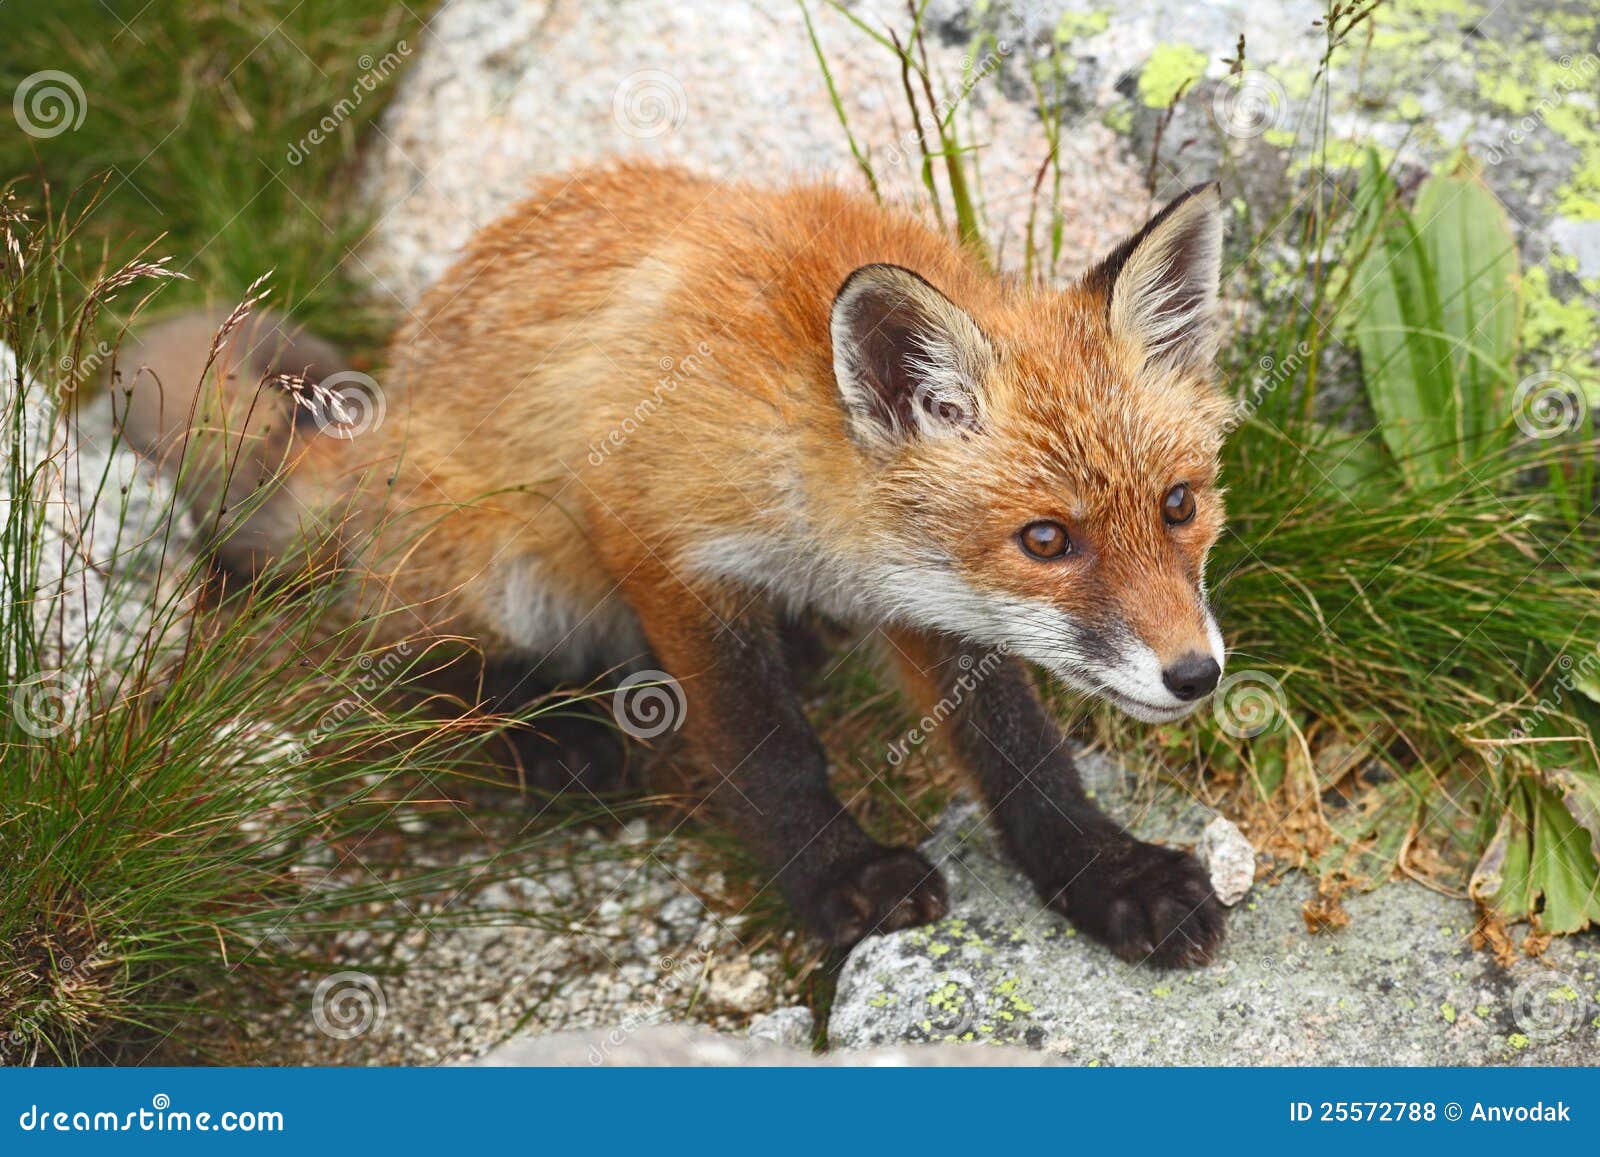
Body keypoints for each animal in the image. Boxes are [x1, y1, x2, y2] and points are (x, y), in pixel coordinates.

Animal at [117, 162, 1234, 967]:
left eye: (1178, 506)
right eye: (1047, 540)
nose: (1196, 674)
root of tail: (382, 421)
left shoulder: (924, 596)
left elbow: (1021, 751)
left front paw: (1105, 871)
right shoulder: (657, 540)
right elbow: (767, 747)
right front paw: (841, 877)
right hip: (508, 563)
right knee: (407, 651)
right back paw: (547, 735)